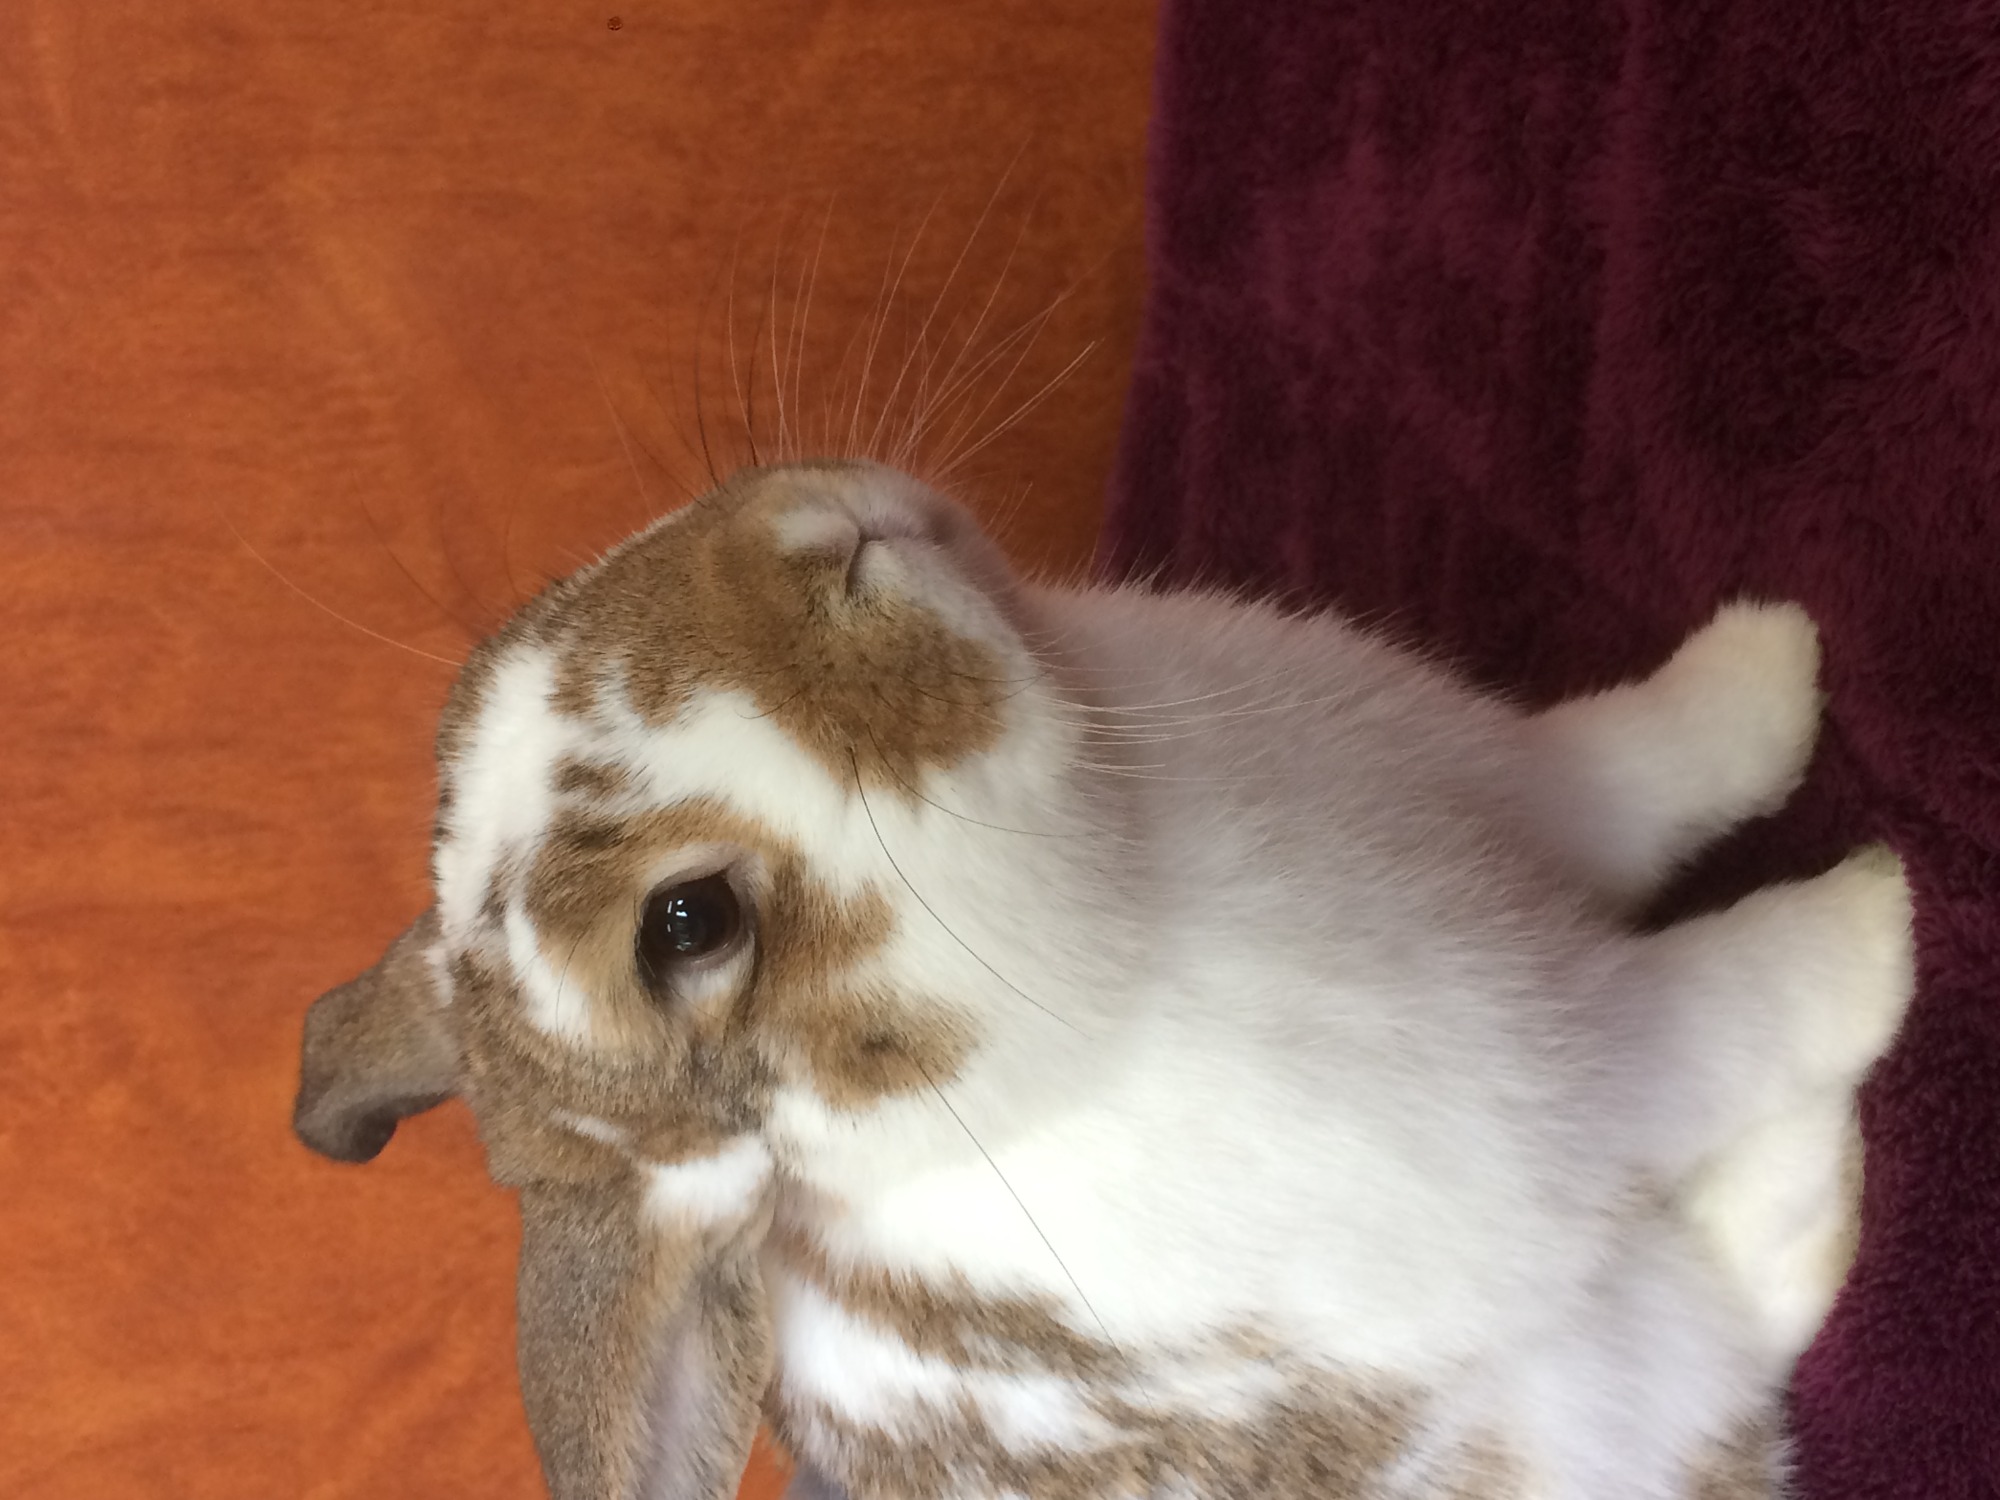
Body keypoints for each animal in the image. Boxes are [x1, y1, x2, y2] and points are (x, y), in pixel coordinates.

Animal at [293, 458, 1913, 1500]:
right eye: (689, 924)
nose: (831, 540)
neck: (1134, 849)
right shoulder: (1568, 1061)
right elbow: (1732, 996)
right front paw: (1887, 918)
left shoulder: (1511, 776)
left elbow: (1645, 766)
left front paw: (1779, 669)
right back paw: (1822, 1158)